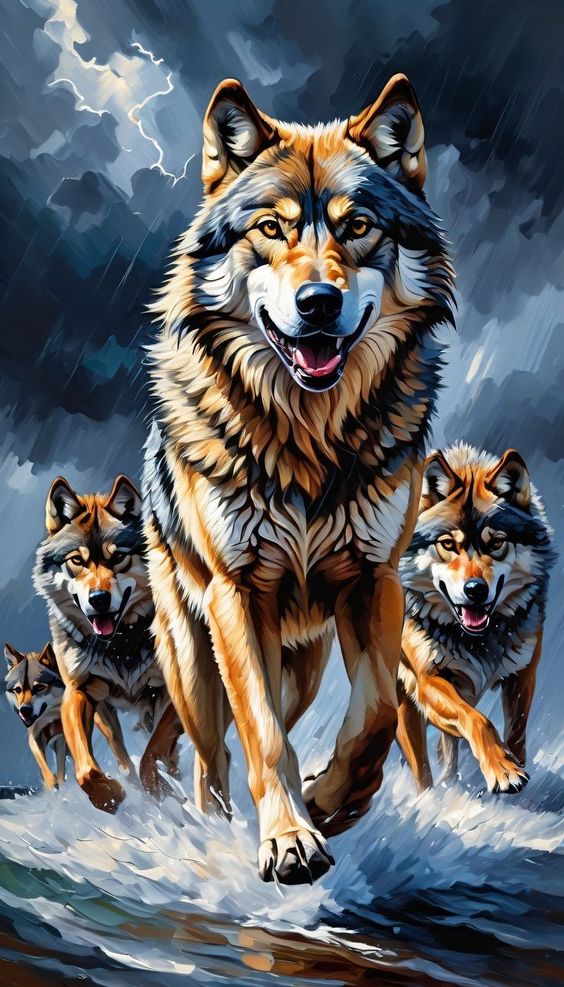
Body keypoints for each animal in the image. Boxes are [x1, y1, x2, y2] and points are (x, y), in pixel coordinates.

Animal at [33, 474, 180, 811]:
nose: (98, 599)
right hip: (106, 716)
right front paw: (109, 796)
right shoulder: (78, 692)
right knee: (123, 757)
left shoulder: (172, 692)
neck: (119, 647)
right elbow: (85, 769)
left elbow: (152, 753)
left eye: (118, 557)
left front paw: (160, 791)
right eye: (77, 560)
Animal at [144, 74, 454, 884]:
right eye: (271, 229)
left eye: (358, 226)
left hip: (306, 660)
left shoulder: (373, 582)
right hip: (192, 658)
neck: (308, 440)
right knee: (214, 753)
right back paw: (216, 826)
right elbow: (260, 733)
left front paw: (327, 804)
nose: (319, 303)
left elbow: (375, 718)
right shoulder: (235, 593)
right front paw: (288, 838)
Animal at [397, 443, 554, 794]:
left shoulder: (523, 675)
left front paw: (515, 765)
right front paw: (503, 770)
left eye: (495, 543)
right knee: (421, 766)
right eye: (448, 544)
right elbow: (477, 720)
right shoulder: (428, 682)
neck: (477, 639)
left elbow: (517, 731)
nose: (475, 590)